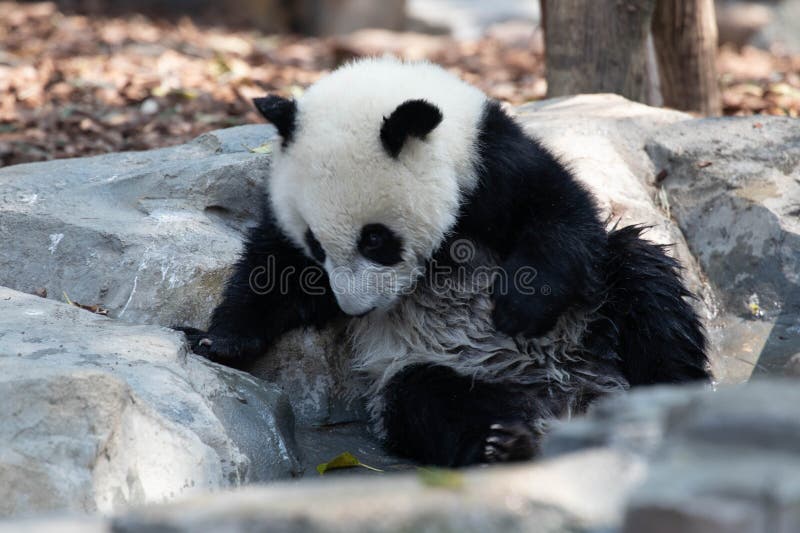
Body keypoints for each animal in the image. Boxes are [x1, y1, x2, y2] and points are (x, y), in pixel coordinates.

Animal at [183, 57, 710, 467]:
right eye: (316, 243)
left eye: (376, 240)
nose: (355, 309)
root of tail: (572, 394)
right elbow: (273, 272)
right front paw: (217, 340)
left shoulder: (493, 161)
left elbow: (562, 216)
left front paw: (519, 309)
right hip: (441, 371)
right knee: (428, 401)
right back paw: (509, 443)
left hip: (595, 320)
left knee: (645, 285)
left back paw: (670, 402)